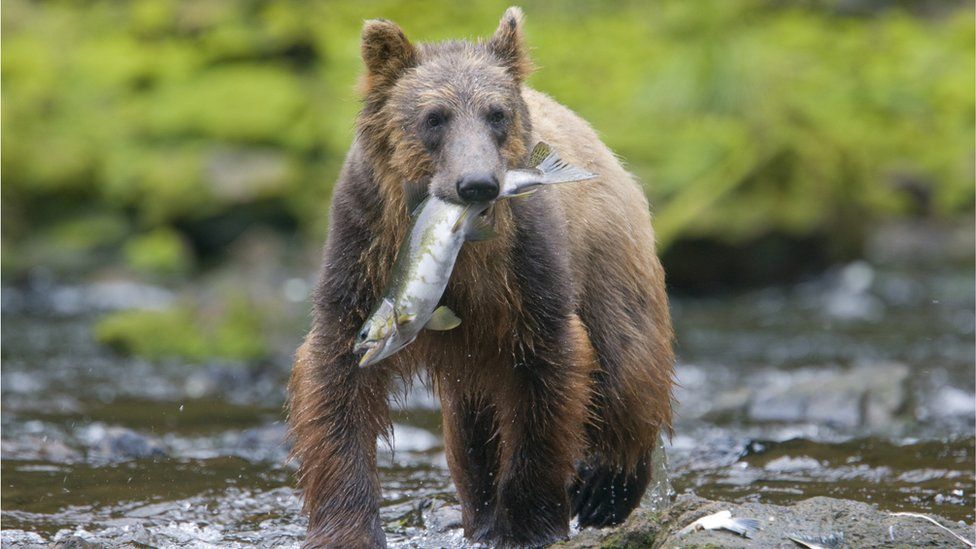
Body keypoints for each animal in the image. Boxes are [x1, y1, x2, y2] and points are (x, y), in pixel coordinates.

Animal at [287, 7, 674, 548]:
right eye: (434, 117)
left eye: (496, 113)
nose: (477, 184)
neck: (467, 252)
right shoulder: (363, 250)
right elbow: (335, 387)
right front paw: (346, 526)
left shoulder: (527, 271)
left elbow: (548, 379)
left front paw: (528, 522)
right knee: (472, 429)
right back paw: (484, 511)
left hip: (607, 260)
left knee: (625, 357)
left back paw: (606, 487)